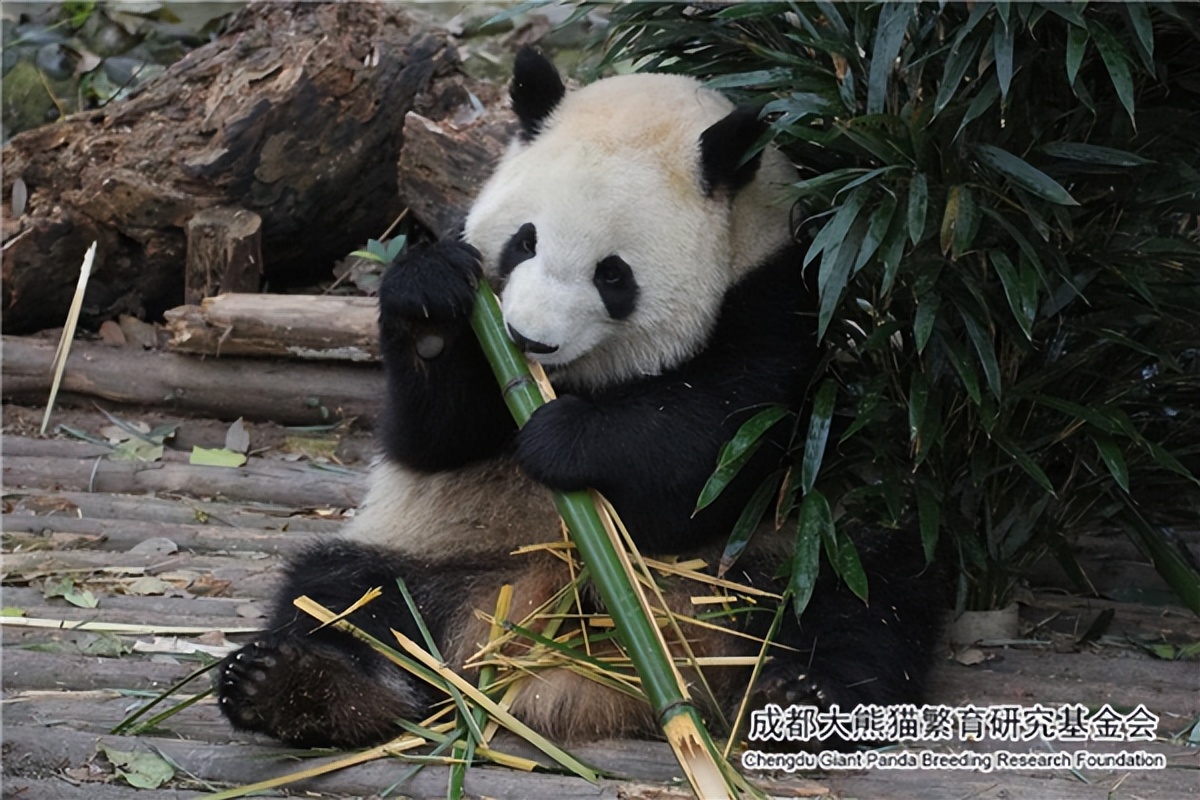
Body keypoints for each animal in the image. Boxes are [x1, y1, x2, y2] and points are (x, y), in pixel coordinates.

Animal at [217, 48, 943, 750]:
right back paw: (297, 686)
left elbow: (711, 454)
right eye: (525, 240)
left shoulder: (787, 297)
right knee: (344, 595)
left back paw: (802, 696)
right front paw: (427, 309)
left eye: (612, 275)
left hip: (778, 552)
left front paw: (560, 439)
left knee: (856, 597)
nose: (528, 338)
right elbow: (434, 437)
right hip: (435, 548)